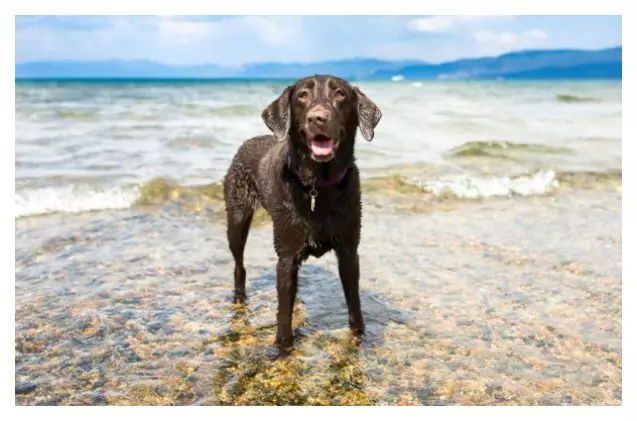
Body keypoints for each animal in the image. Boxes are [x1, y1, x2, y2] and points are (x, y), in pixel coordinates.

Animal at [224, 74, 382, 348]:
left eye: (340, 94)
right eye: (303, 95)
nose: (318, 118)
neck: (318, 186)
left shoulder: (349, 252)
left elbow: (355, 306)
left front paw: (359, 336)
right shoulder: (286, 256)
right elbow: (283, 318)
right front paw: (283, 347)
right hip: (236, 218)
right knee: (239, 265)